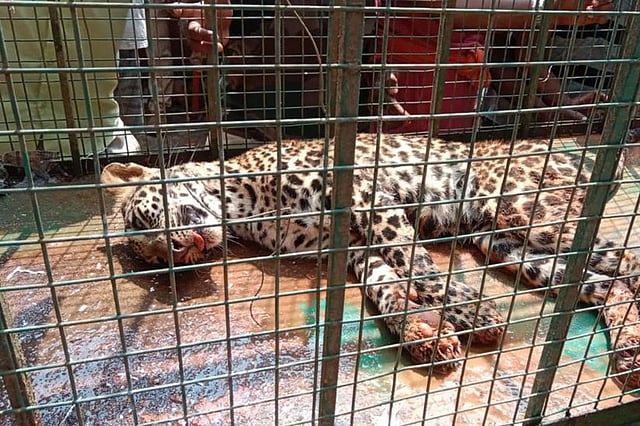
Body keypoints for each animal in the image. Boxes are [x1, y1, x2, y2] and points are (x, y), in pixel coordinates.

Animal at [101, 133, 640, 387]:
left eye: (148, 219)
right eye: (153, 258)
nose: (176, 250)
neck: (238, 206)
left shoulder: (367, 195)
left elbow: (415, 262)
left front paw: (474, 312)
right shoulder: (351, 247)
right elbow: (388, 285)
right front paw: (426, 334)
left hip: (528, 211)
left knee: (628, 258)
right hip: (508, 244)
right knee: (607, 282)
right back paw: (630, 349)